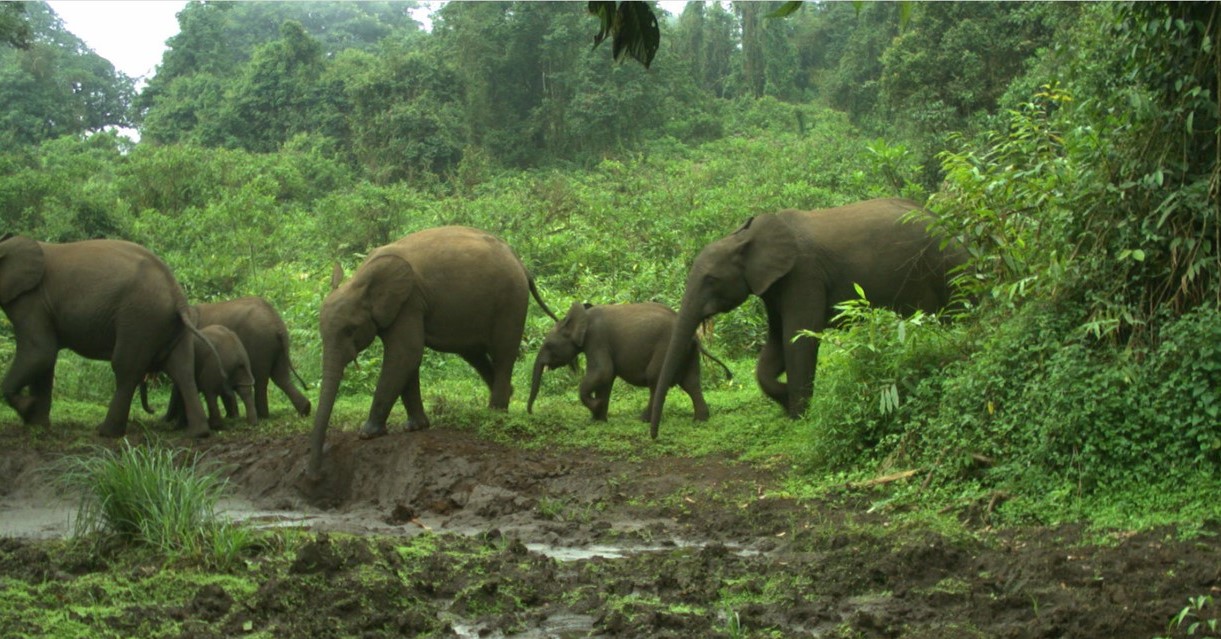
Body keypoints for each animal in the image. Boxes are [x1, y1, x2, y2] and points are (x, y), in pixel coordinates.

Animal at [0, 234, 215, 438]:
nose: (153, 410)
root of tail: (176, 292)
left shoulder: (31, 299)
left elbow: (40, 352)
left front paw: (28, 409)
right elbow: (45, 360)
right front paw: (37, 426)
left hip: (140, 317)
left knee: (125, 368)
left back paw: (106, 432)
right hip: (169, 324)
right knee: (182, 369)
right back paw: (198, 433)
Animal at [308, 225, 558, 479]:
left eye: (350, 330)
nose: (316, 474)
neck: (360, 280)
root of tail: (520, 262)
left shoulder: (409, 301)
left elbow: (405, 353)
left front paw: (367, 433)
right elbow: (407, 359)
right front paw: (415, 427)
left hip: (511, 300)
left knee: (503, 353)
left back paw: (495, 413)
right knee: (474, 353)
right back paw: (506, 396)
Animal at [527, 301, 733, 422]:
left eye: (549, 345)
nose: (531, 413)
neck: (583, 316)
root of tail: (695, 337)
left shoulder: (597, 339)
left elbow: (602, 371)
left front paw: (597, 406)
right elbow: (606, 378)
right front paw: (598, 419)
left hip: (666, 348)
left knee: (656, 380)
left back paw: (643, 419)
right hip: (689, 353)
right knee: (691, 382)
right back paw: (700, 420)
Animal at [650, 198, 966, 438]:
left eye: (711, 280)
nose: (654, 434)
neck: (744, 237)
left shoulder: (804, 274)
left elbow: (800, 338)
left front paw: (799, 414)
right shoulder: (774, 286)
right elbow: (775, 346)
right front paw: (787, 399)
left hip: (933, 272)